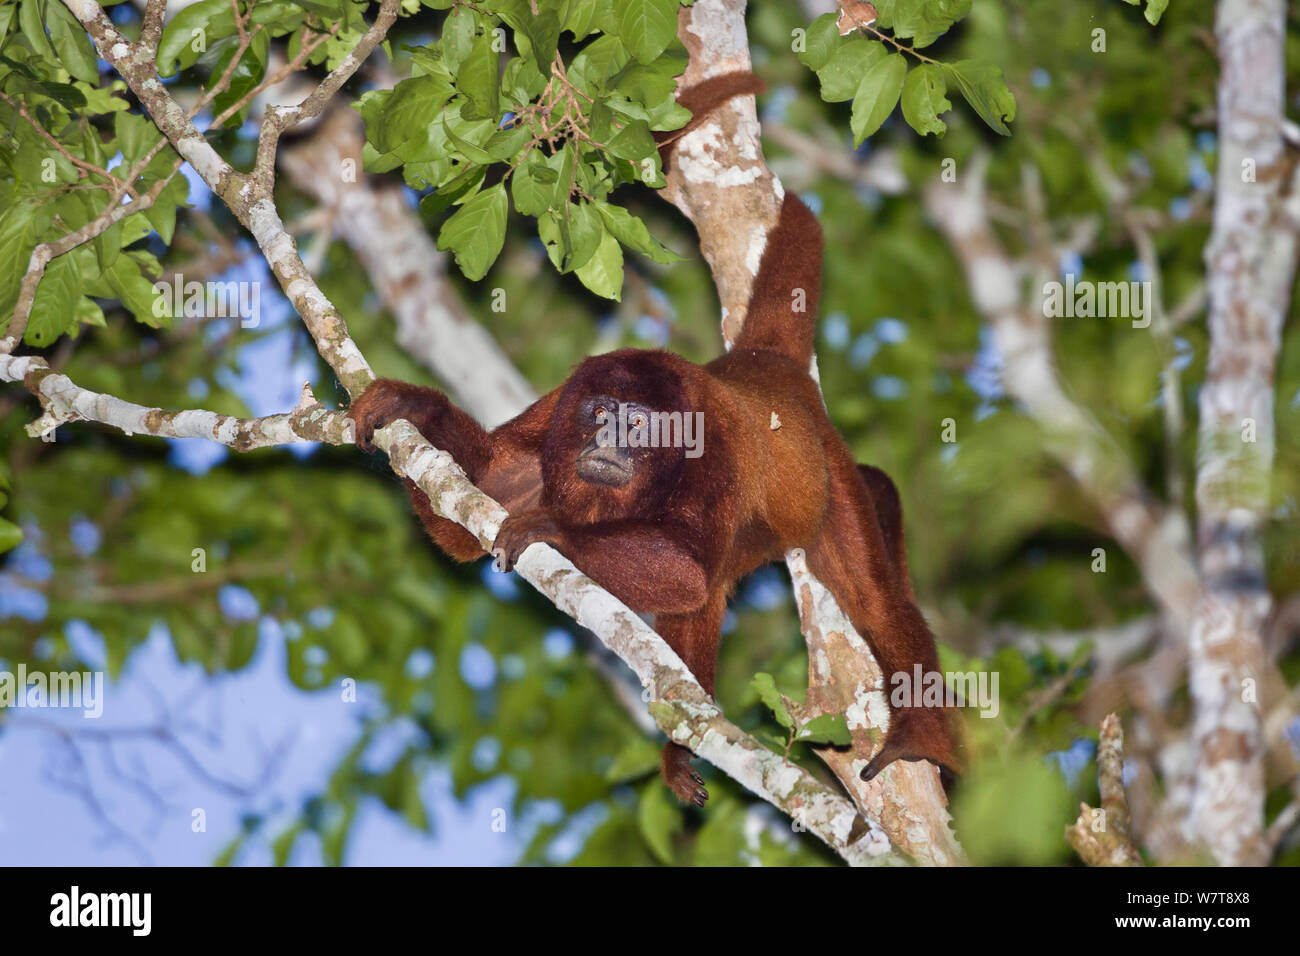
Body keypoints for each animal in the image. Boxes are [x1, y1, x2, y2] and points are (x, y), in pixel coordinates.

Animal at [349, 73, 963, 806]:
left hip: (826, 471)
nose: (608, 443)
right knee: (704, 604)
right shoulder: (560, 407)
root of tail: (759, 366)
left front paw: (552, 529)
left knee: (872, 597)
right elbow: (473, 512)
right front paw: (416, 407)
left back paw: (918, 736)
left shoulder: (717, 448)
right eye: (602, 411)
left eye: (639, 423)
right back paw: (682, 743)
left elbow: (688, 569)